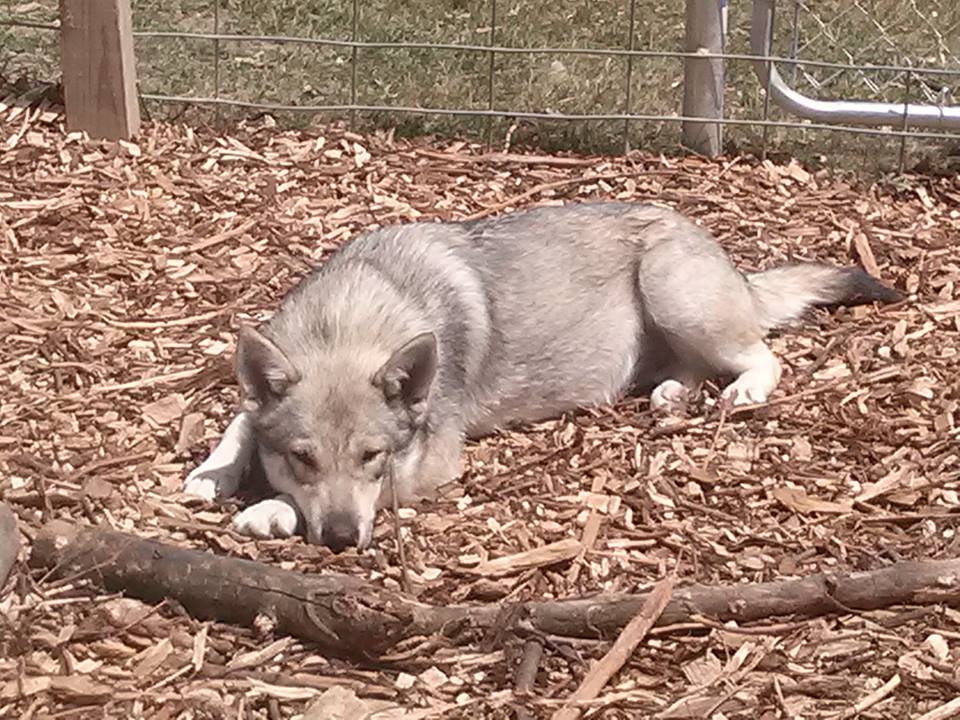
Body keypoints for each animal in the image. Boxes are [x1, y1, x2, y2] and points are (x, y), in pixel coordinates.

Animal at [181, 201, 900, 551]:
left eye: (372, 458)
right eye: (303, 458)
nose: (338, 542)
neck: (352, 318)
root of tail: (721, 252)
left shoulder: (433, 461)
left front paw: (267, 510)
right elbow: (240, 420)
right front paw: (213, 474)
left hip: (675, 294)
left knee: (763, 354)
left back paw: (742, 392)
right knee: (697, 367)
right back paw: (671, 391)